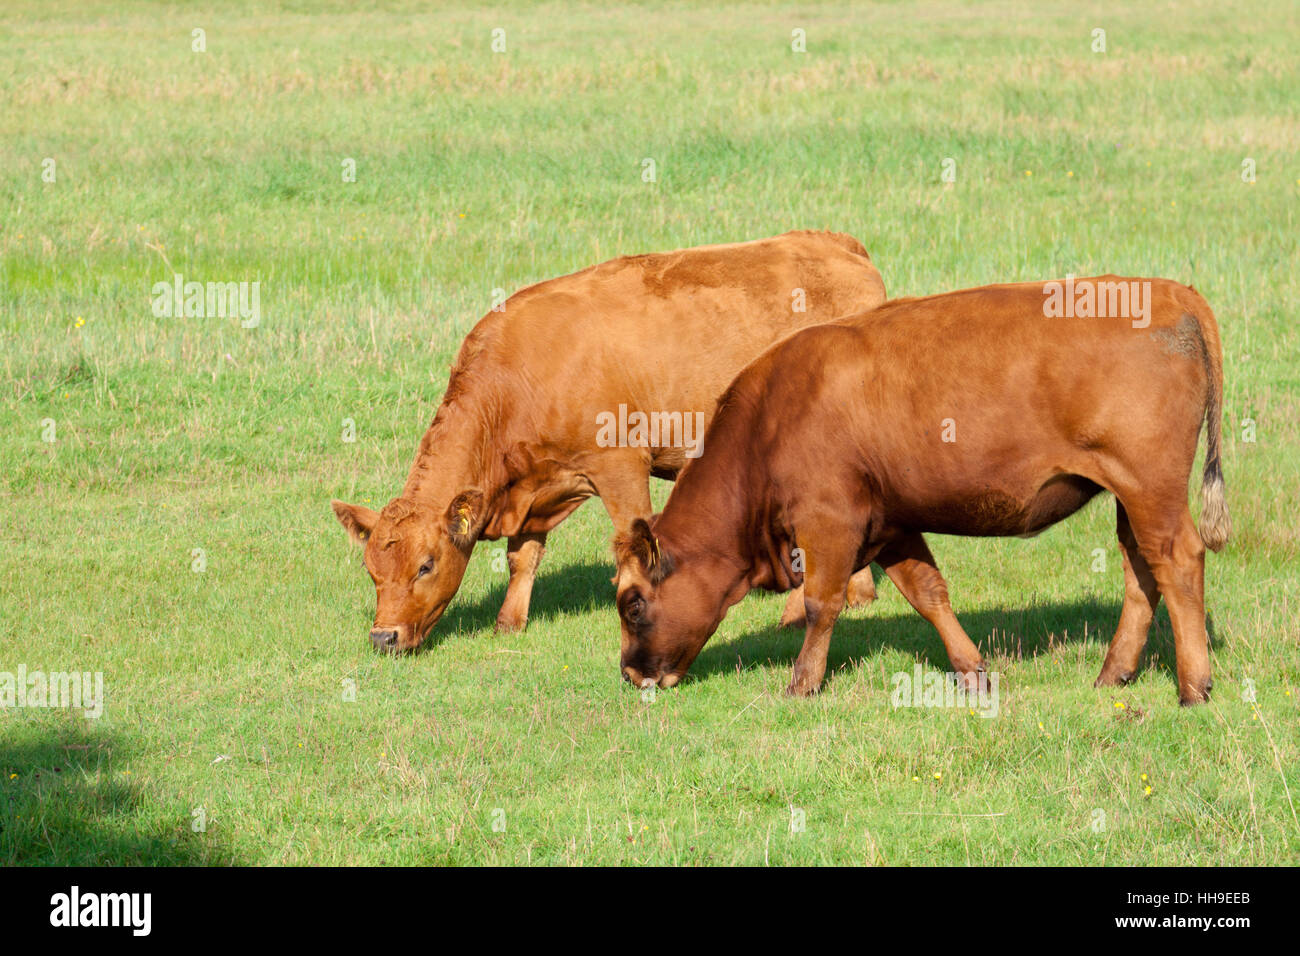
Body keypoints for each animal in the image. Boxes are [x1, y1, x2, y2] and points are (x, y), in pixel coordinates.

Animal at [333, 231, 887, 652]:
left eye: (425, 565)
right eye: (370, 568)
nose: (383, 637)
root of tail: (836, 243)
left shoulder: (620, 465)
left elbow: (631, 542)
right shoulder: (534, 486)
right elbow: (523, 557)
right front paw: (509, 623)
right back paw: (857, 593)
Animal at [613, 276, 1229, 705]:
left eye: (633, 602)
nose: (630, 672)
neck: (770, 416)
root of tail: (1174, 292)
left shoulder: (829, 522)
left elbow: (820, 603)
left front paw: (802, 683)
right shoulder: (891, 524)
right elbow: (928, 593)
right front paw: (973, 672)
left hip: (1150, 488)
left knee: (1177, 562)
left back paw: (1192, 686)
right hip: (1132, 498)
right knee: (1142, 570)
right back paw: (1112, 674)